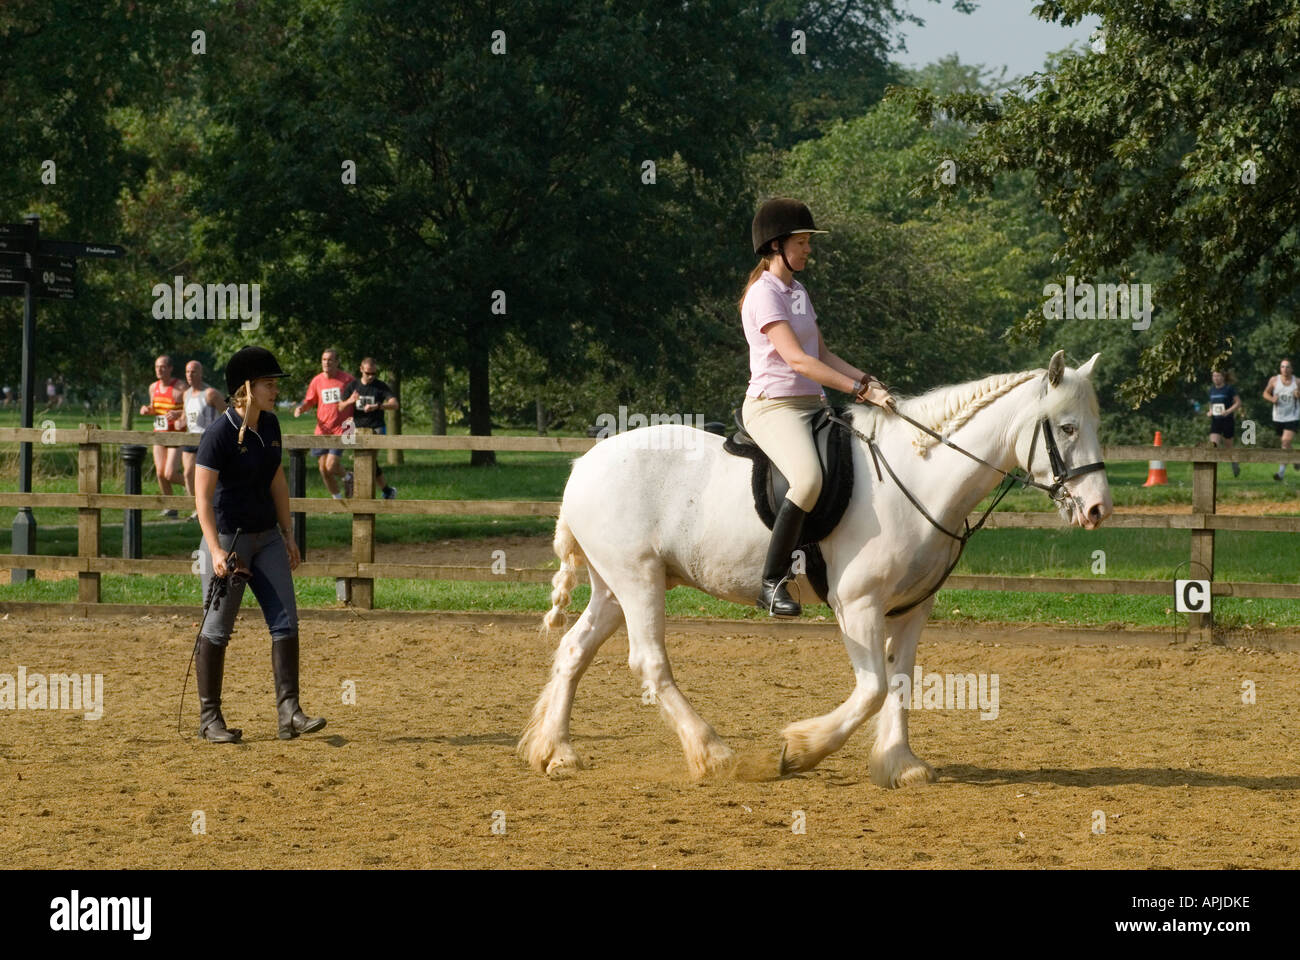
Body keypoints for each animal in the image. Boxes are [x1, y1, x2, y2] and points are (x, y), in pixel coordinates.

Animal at [518, 350, 1113, 786]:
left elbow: (900, 680)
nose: (1097, 509)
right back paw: (714, 755)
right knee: (649, 663)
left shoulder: (912, 608)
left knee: (573, 650)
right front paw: (799, 749)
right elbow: (872, 688)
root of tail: (584, 465)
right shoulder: (859, 605)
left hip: (615, 586)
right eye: (1065, 428)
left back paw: (557, 753)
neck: (919, 480)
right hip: (638, 580)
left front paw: (900, 764)